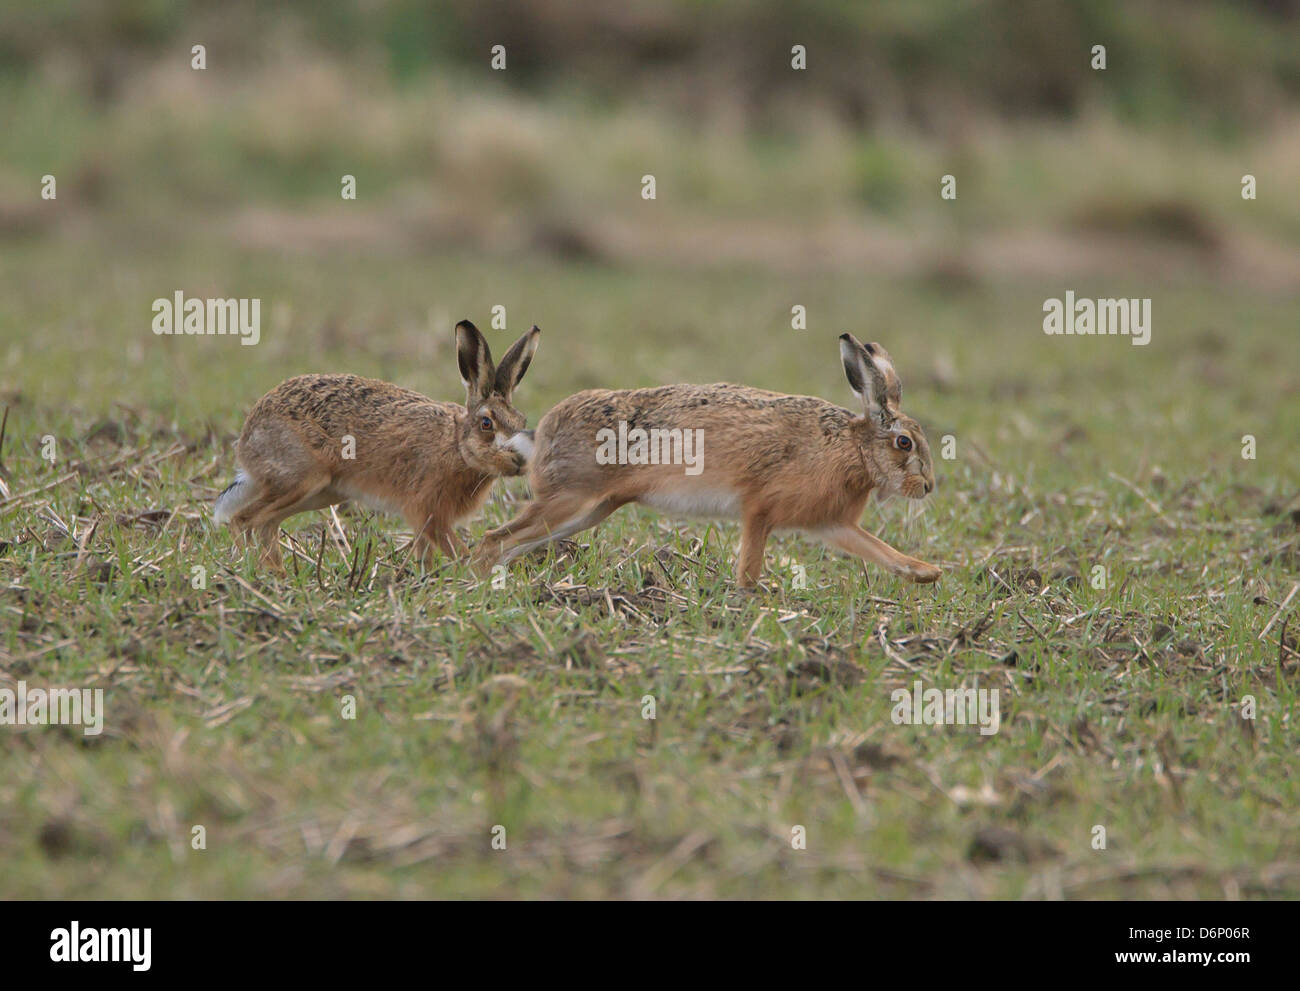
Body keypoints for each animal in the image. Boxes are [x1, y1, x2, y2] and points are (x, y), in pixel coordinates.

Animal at [214, 319, 540, 571]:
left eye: (522, 421)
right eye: (487, 424)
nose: (522, 461)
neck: (457, 446)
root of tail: (247, 438)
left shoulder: (425, 520)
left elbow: (424, 553)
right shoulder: (429, 511)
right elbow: (455, 550)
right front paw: (469, 573)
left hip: (320, 492)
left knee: (266, 524)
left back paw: (276, 572)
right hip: (301, 478)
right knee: (244, 519)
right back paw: (251, 567)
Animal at [474, 333, 940, 586]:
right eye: (904, 443)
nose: (928, 487)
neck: (853, 449)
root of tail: (541, 433)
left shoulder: (833, 523)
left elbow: (880, 550)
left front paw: (926, 573)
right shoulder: (760, 510)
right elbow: (750, 564)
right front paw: (752, 597)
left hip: (590, 509)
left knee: (514, 543)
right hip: (572, 498)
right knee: (494, 540)